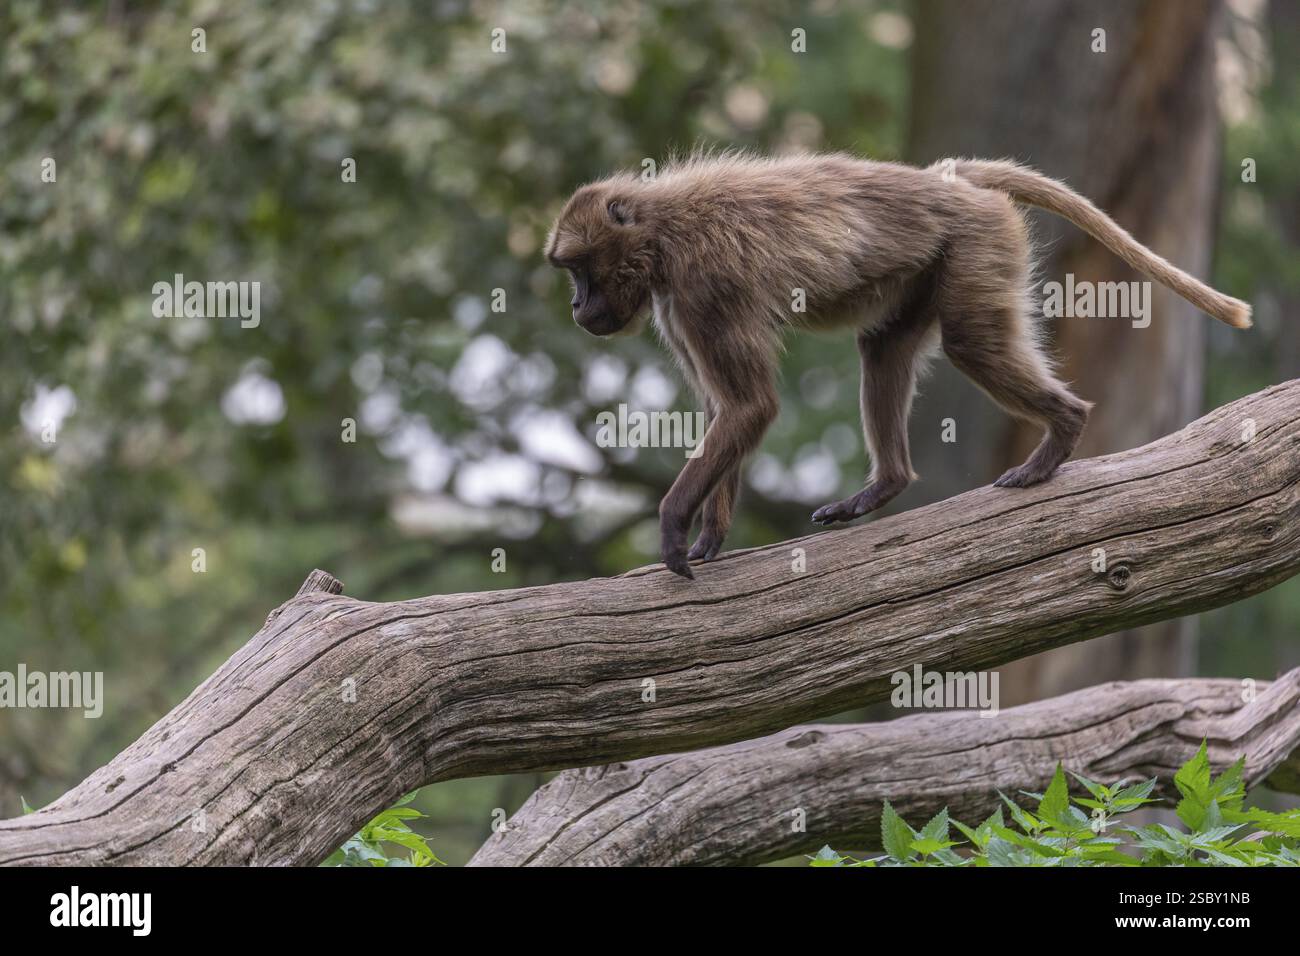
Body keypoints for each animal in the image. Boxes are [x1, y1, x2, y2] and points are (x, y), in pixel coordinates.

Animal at [545, 152, 1252, 580]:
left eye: (578, 269)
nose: (576, 306)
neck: (662, 229)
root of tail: (949, 180)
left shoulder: (702, 288)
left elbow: (749, 408)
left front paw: (672, 526)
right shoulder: (676, 307)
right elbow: (730, 410)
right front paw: (711, 535)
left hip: (974, 244)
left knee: (969, 342)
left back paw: (1061, 434)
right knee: (884, 346)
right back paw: (885, 486)